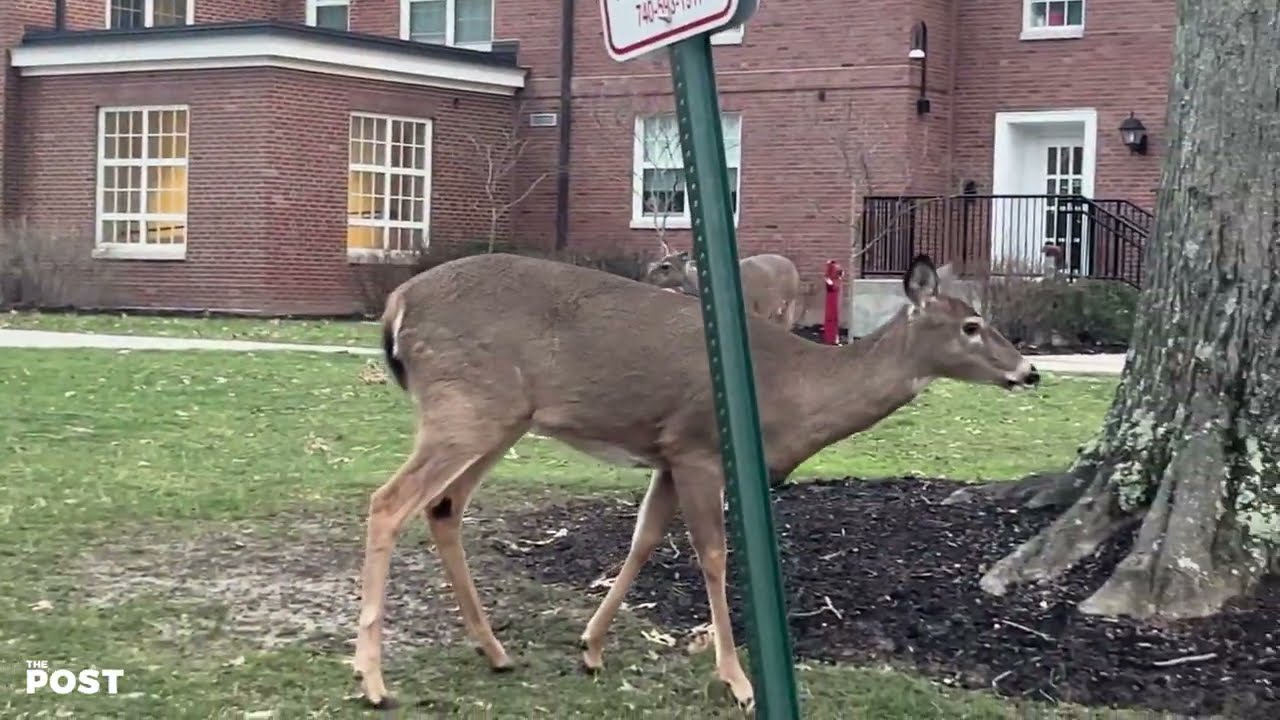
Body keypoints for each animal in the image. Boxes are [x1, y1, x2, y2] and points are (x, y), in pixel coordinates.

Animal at [353, 252, 1039, 711]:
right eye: (971, 325)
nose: (1028, 371)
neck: (791, 392)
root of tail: (396, 305)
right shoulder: (699, 446)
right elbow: (712, 554)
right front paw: (737, 680)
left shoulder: (667, 454)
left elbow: (644, 540)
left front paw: (590, 647)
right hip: (467, 405)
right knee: (389, 502)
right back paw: (374, 680)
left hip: (500, 418)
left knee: (443, 507)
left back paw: (494, 653)